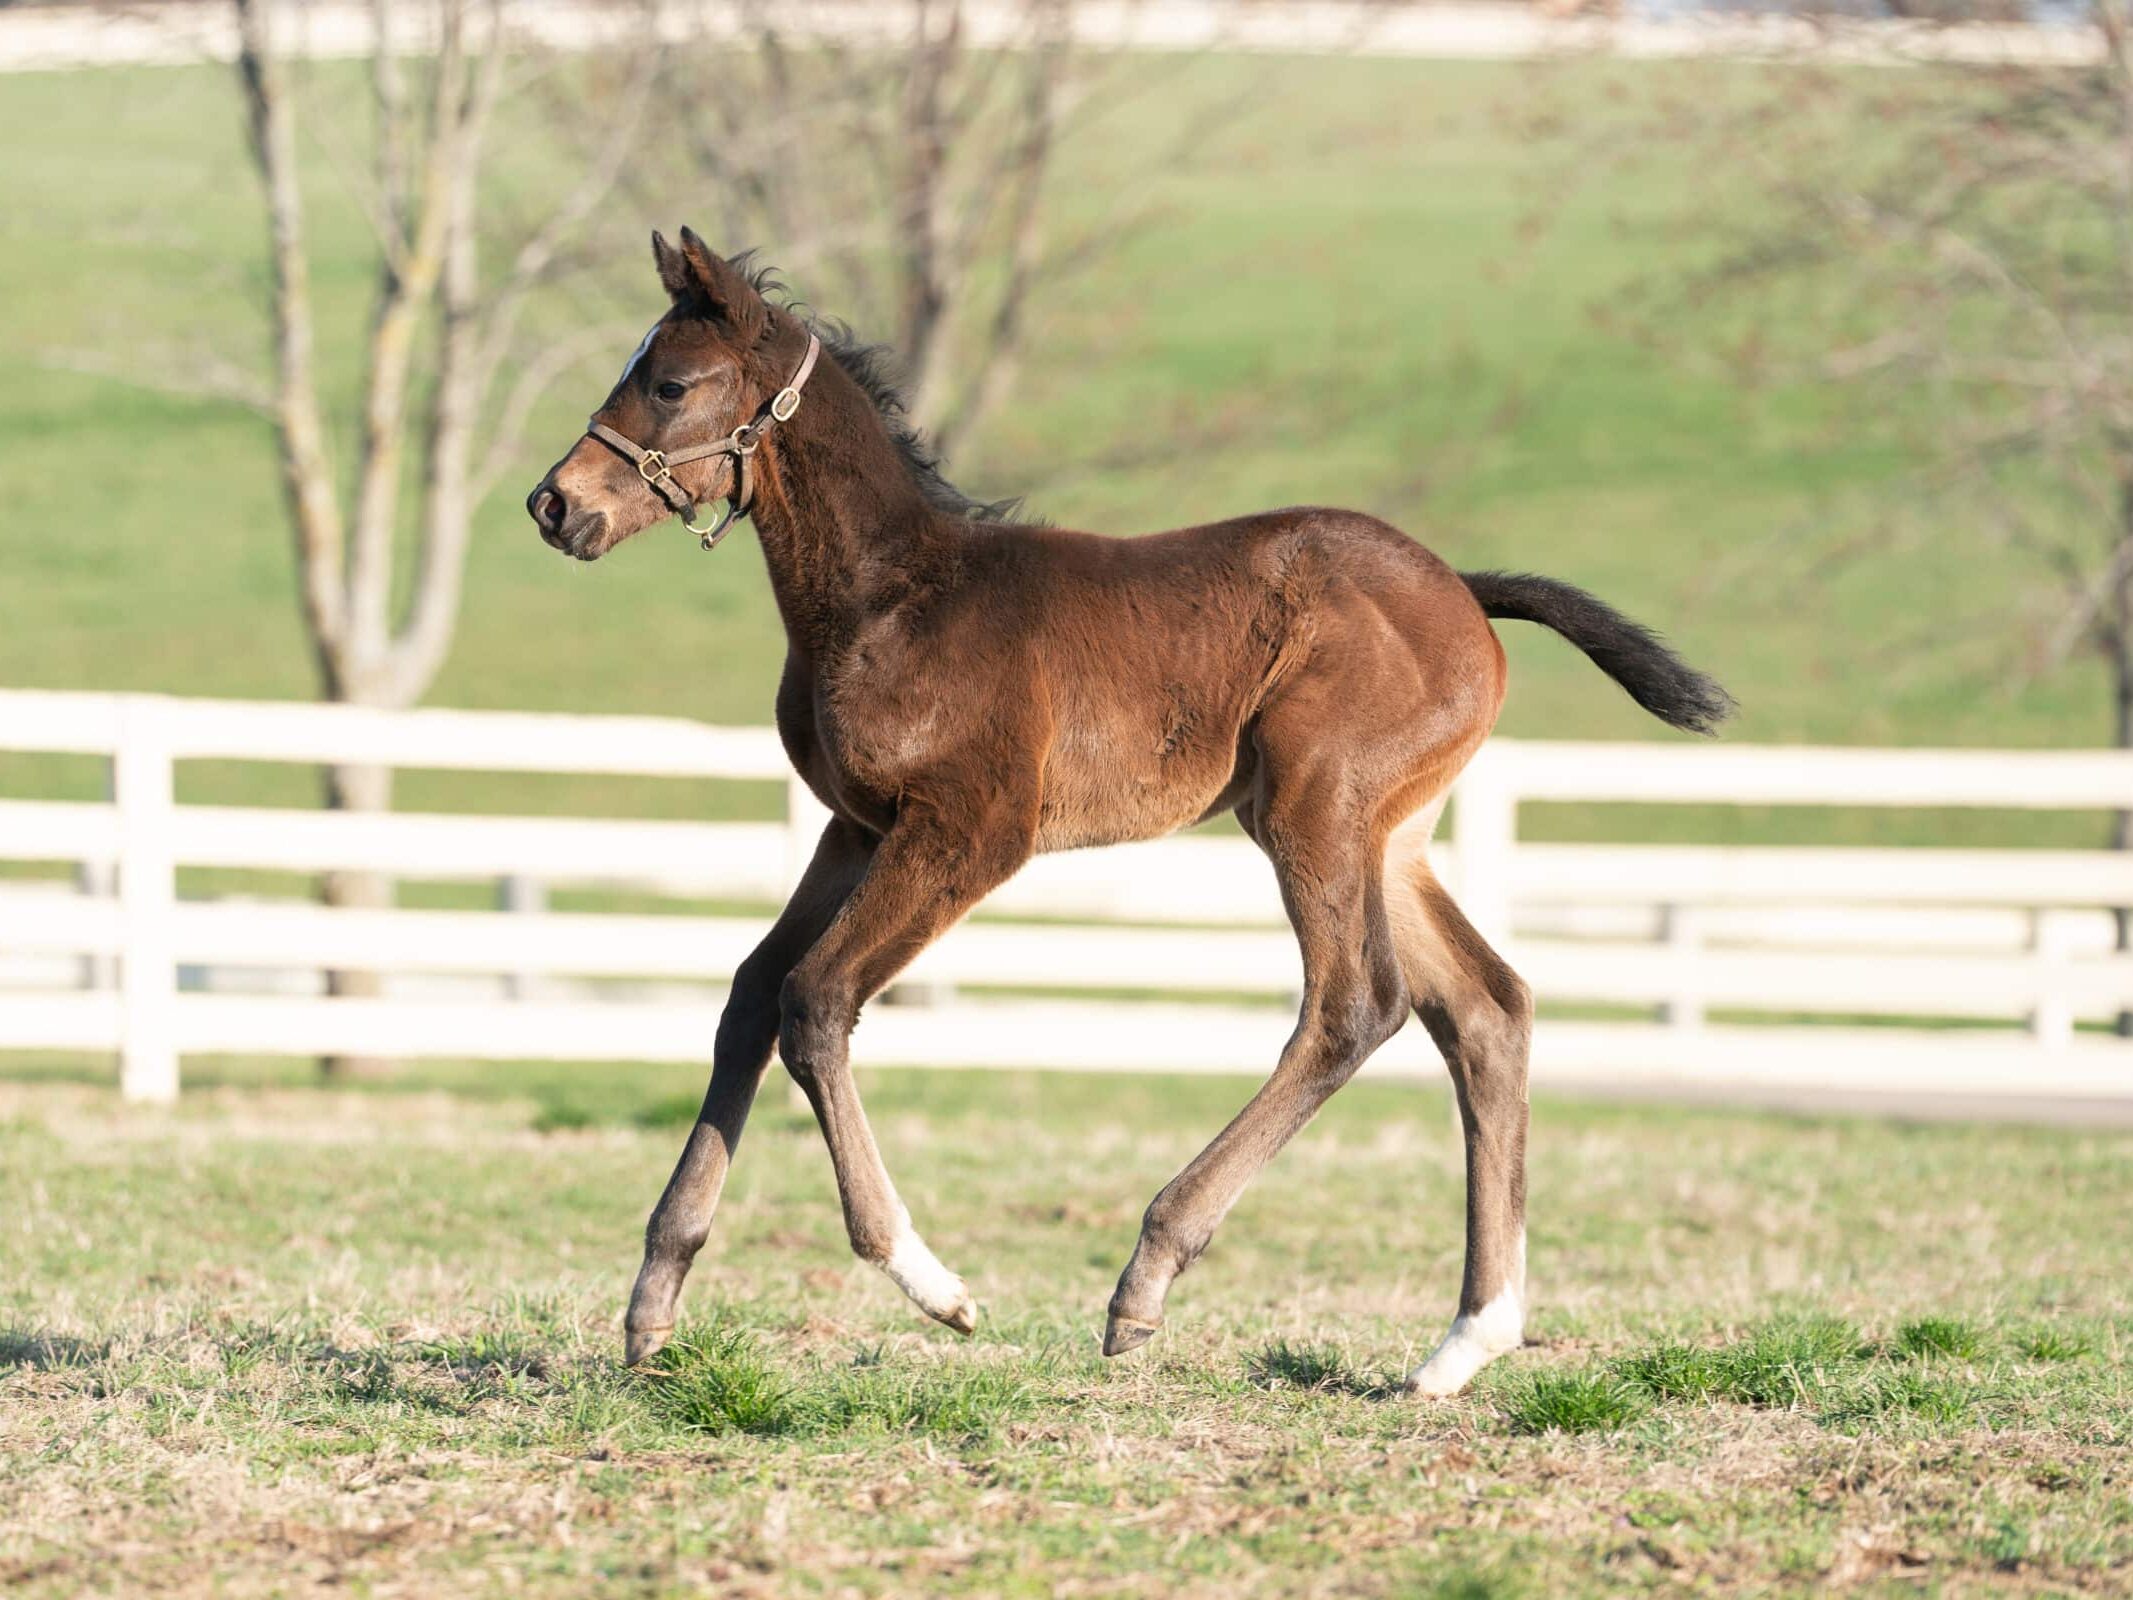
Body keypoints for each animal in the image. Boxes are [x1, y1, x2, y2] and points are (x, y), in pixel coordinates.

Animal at [527, 229, 1732, 1395]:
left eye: (672, 382)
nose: (555, 504)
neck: (891, 596)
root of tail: (1464, 593)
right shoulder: (856, 827)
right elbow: (749, 996)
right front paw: (652, 1304)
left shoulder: (972, 828)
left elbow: (814, 1002)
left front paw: (932, 1282)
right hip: (1388, 835)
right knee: (1485, 1010)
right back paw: (1467, 1340)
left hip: (1313, 806)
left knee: (1357, 1004)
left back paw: (1148, 1273)